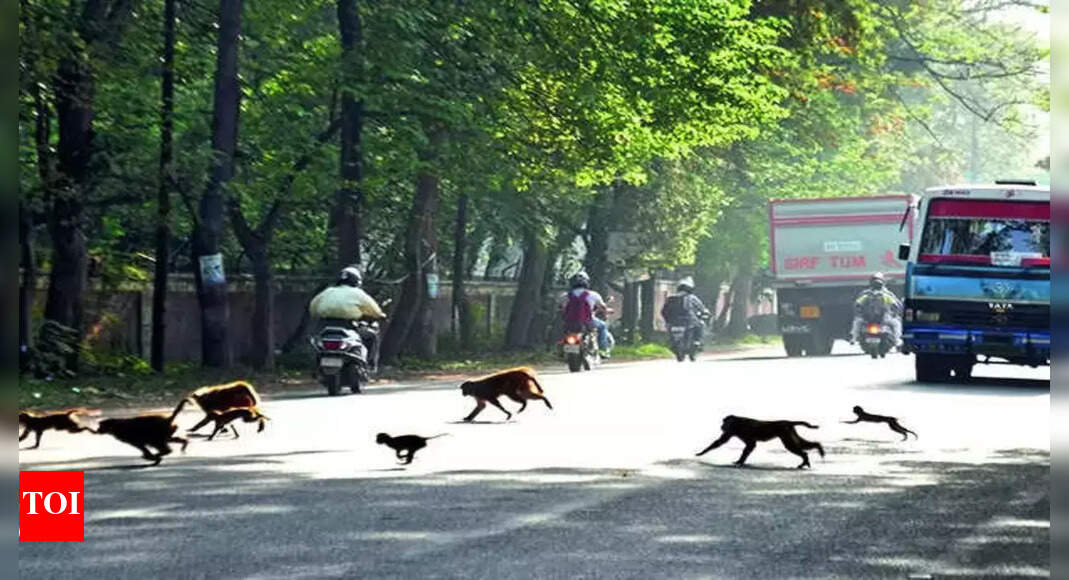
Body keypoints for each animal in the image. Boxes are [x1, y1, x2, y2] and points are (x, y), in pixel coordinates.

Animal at [696, 415, 825, 469]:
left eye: (724, 422)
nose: (721, 426)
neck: (737, 422)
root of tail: (788, 422)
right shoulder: (732, 431)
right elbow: (721, 442)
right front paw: (740, 461)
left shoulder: (738, 430)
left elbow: (751, 445)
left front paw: (740, 462)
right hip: (789, 431)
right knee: (800, 443)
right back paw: (815, 449)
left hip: (785, 432)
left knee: (791, 446)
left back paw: (806, 457)